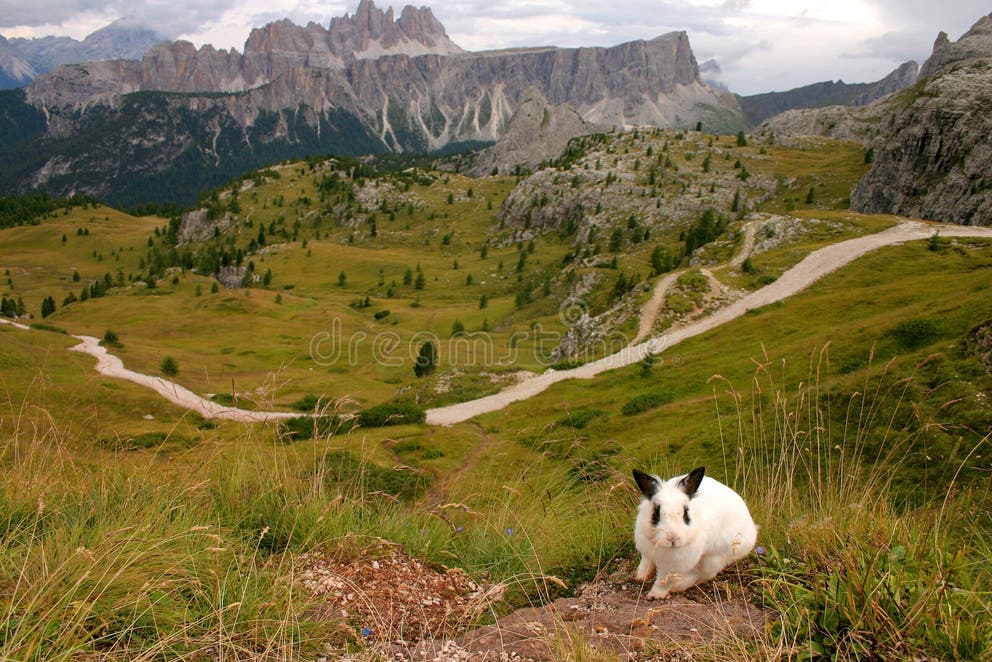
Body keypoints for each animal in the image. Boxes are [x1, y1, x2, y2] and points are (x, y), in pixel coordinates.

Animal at [632, 466, 757, 600]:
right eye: (656, 513)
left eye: (686, 513)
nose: (673, 538)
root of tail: (752, 530)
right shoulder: (646, 552)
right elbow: (646, 563)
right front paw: (640, 577)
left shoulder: (672, 567)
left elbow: (663, 582)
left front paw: (654, 595)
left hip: (714, 558)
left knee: (705, 574)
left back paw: (678, 586)